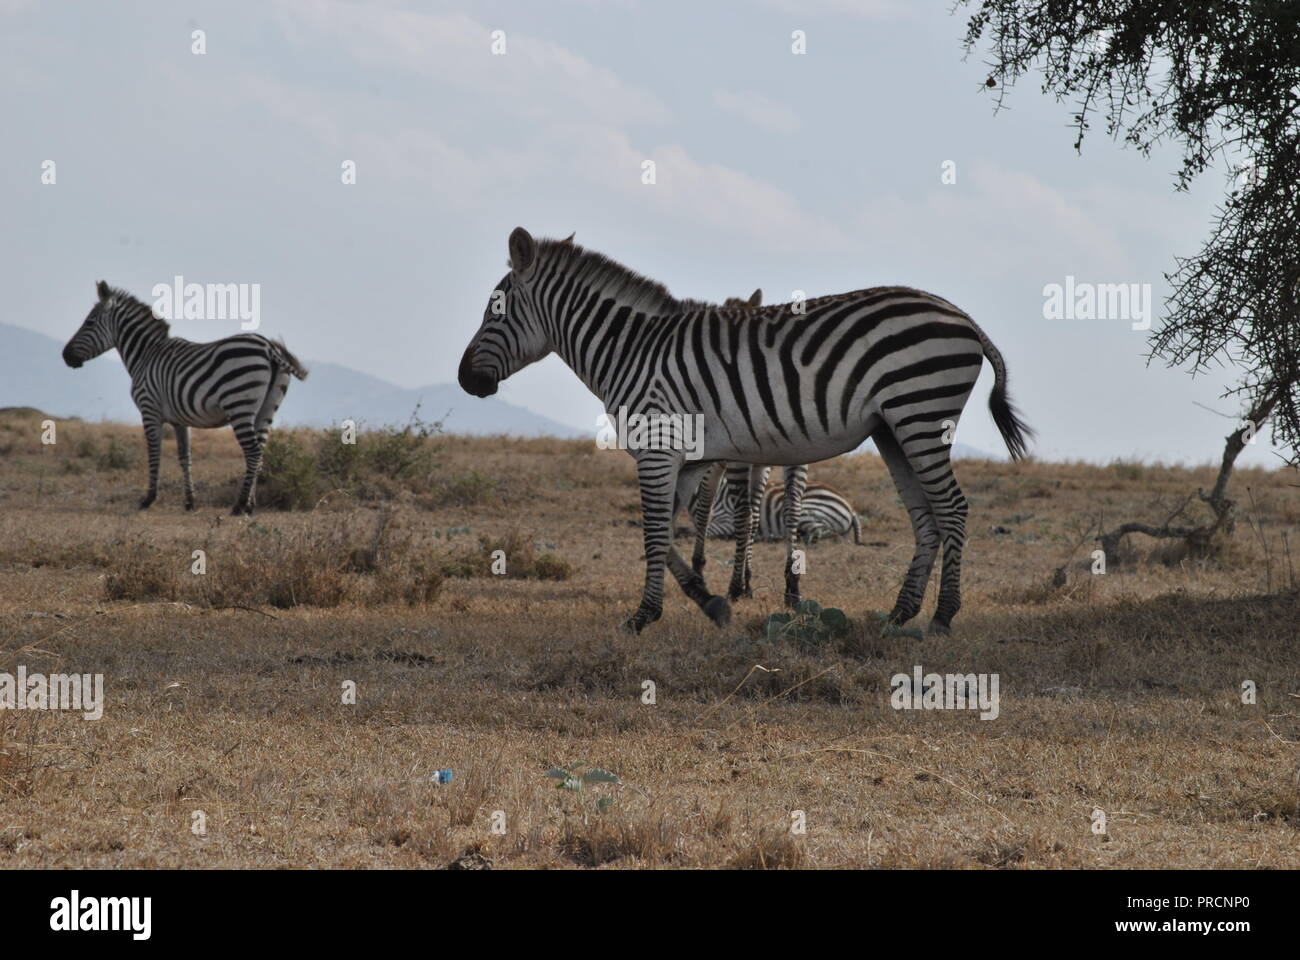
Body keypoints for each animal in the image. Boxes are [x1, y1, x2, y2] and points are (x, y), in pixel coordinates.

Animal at [62, 280, 308, 515]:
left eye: (89, 322)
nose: (65, 355)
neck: (145, 355)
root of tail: (268, 347)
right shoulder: (180, 420)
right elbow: (184, 457)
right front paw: (190, 502)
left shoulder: (149, 409)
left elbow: (154, 453)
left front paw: (148, 499)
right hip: (266, 409)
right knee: (260, 453)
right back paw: (250, 505)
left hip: (239, 404)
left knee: (253, 452)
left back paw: (239, 506)